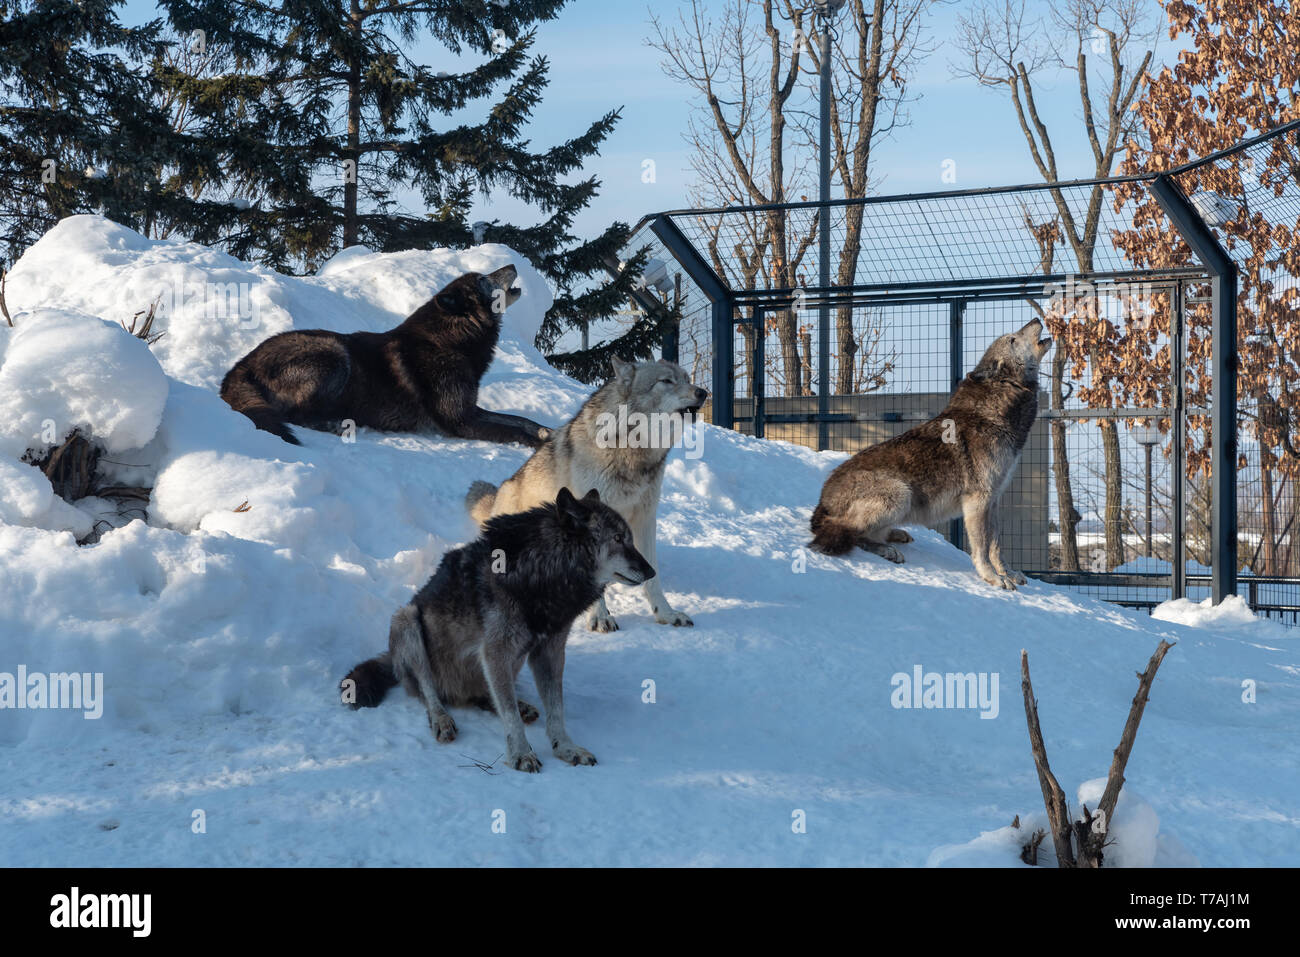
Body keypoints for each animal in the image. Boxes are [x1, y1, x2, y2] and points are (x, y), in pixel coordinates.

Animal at [219, 264, 550, 448]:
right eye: (482, 280)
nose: (512, 263)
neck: (449, 341)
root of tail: (239, 367)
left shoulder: (470, 408)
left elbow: (519, 420)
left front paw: (546, 431)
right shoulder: (460, 420)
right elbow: (511, 431)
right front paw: (540, 446)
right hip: (334, 355)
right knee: (294, 417)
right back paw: (335, 424)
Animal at [342, 487, 654, 773]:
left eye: (630, 538)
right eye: (618, 539)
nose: (651, 572)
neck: (543, 574)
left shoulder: (549, 651)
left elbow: (555, 710)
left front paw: (566, 748)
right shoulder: (495, 652)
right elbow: (510, 716)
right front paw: (521, 754)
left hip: (512, 658)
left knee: (488, 695)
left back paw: (518, 704)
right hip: (406, 619)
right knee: (429, 692)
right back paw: (442, 720)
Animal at [466, 357, 708, 631]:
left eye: (687, 379)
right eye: (666, 381)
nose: (703, 393)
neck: (632, 453)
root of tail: (496, 499)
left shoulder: (646, 518)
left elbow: (653, 577)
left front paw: (666, 614)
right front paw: (600, 616)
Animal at [809, 317, 1052, 590]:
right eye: (1012, 339)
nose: (1036, 318)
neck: (994, 414)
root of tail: (822, 501)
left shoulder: (994, 499)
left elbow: (996, 546)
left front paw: (1008, 573)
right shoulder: (977, 500)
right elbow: (981, 548)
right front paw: (993, 578)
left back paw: (896, 535)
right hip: (900, 494)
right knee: (848, 534)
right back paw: (887, 549)